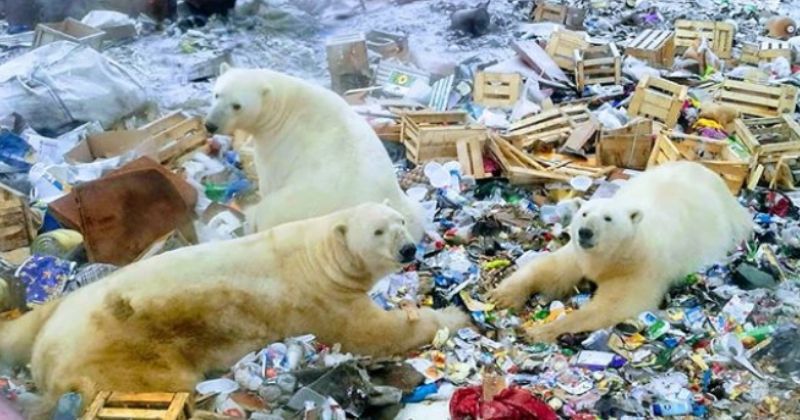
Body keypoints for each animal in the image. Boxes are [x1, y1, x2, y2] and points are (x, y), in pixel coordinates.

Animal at [0, 203, 470, 419]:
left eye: (400, 221)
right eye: (377, 231)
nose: (408, 249)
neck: (321, 257)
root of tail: (46, 354)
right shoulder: (321, 300)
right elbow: (374, 333)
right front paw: (454, 317)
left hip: (58, 310)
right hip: (120, 352)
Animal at [203, 64, 425, 240]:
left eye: (237, 105)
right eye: (216, 94)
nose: (210, 125)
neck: (283, 104)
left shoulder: (277, 143)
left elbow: (269, 180)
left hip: (301, 206)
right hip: (406, 206)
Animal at [489, 161, 752, 343]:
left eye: (608, 218)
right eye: (584, 213)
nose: (585, 232)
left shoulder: (640, 269)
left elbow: (612, 306)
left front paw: (537, 331)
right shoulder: (579, 255)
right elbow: (549, 271)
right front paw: (502, 296)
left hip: (729, 223)